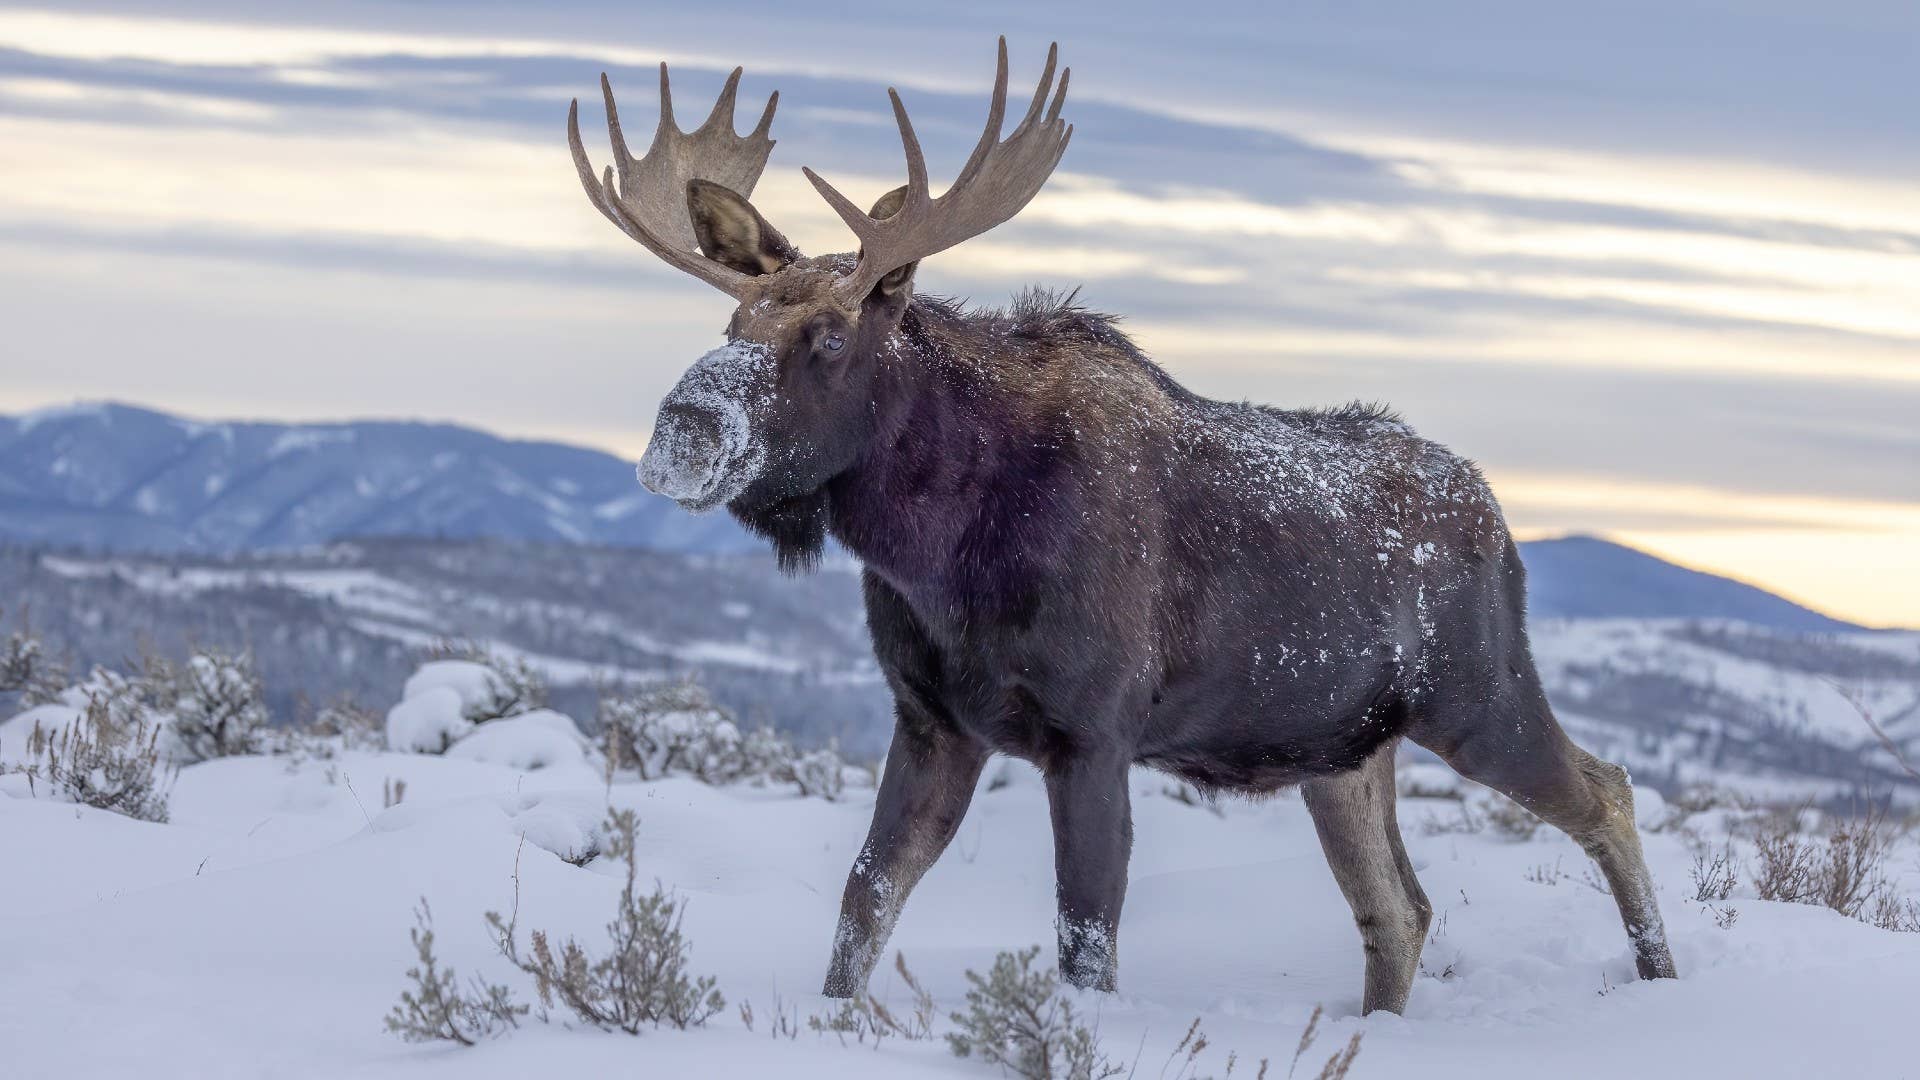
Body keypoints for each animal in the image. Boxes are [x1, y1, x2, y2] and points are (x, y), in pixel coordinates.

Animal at [566, 39, 1677, 1015]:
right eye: (732, 324)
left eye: (830, 335)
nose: (682, 429)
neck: (939, 549)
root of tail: (1499, 521)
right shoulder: (932, 722)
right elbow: (863, 904)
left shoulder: (1093, 733)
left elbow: (1085, 940)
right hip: (1345, 752)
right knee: (1400, 910)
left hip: (1480, 696)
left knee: (1608, 792)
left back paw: (1661, 983)